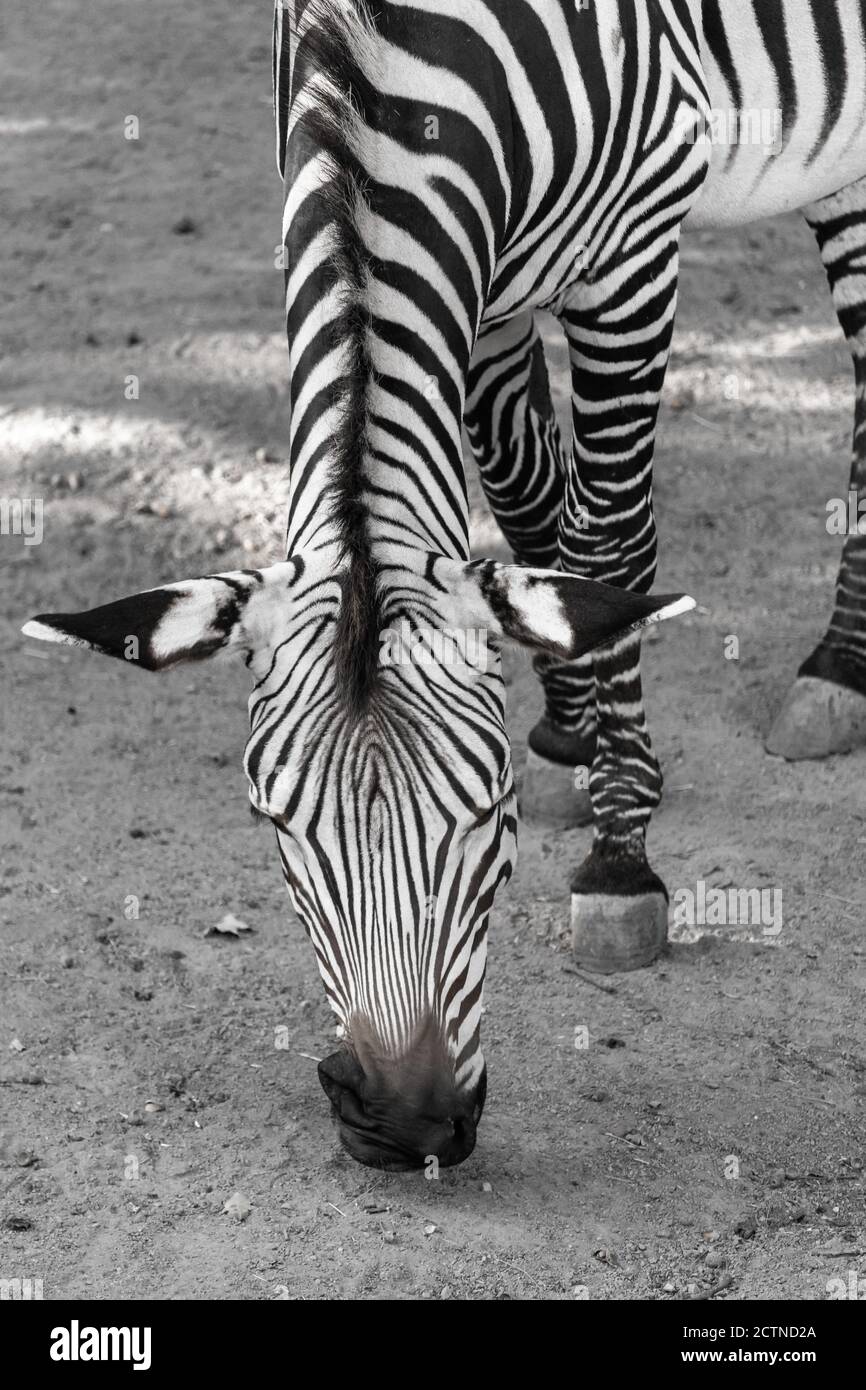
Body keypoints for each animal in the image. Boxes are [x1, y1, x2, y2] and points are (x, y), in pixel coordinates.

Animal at [23, 0, 866, 1169]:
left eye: (487, 817)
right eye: (273, 824)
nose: (401, 1121)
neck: (389, 51)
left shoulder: (631, 251)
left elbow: (608, 545)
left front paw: (620, 852)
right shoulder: (484, 281)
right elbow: (526, 503)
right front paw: (568, 731)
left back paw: (839, 669)